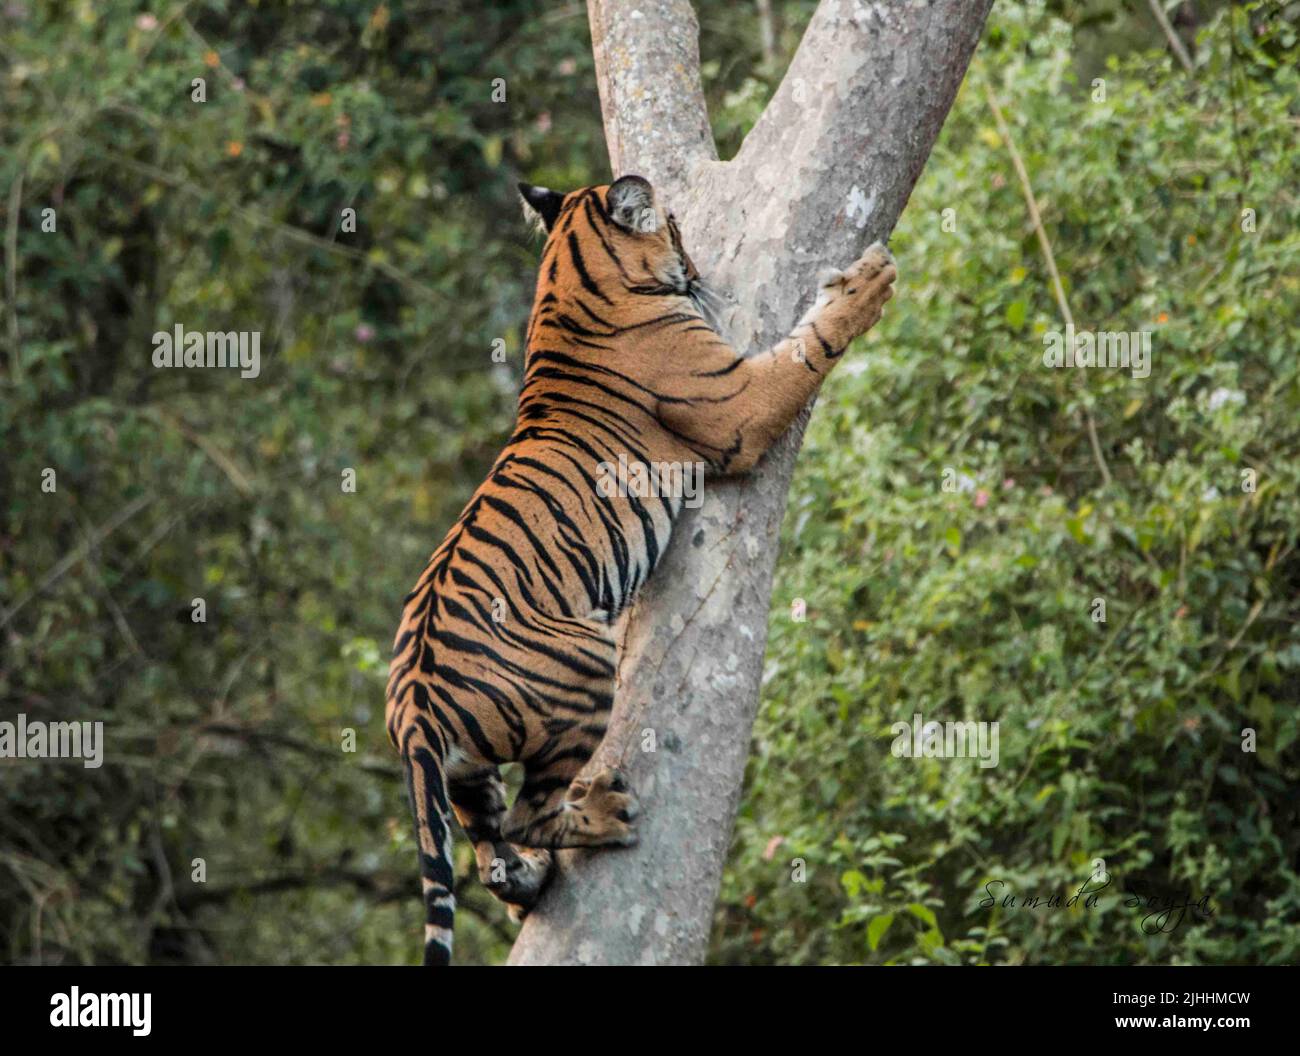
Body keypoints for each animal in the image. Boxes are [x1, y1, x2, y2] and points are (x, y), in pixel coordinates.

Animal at [385, 174, 897, 965]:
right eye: (676, 229)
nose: (697, 266)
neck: (567, 277)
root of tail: (410, 706)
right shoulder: (740, 404)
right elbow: (808, 346)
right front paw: (867, 284)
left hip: (465, 775)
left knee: (491, 854)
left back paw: (527, 878)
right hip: (584, 663)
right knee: (533, 812)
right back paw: (604, 813)